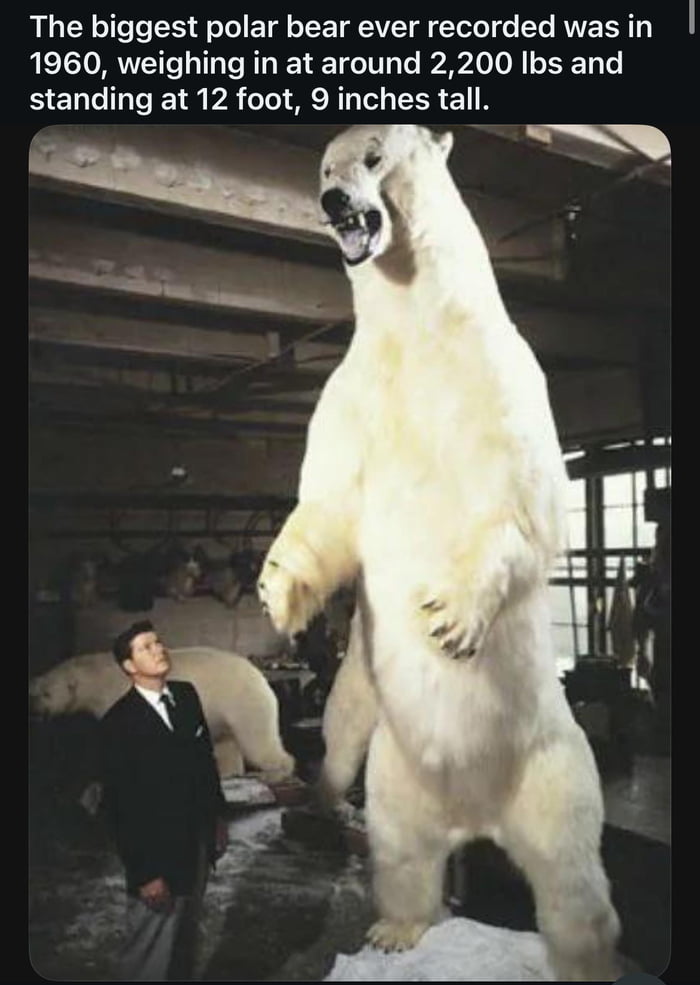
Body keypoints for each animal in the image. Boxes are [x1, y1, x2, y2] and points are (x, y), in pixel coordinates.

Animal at [30, 646, 294, 781]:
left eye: (47, 694)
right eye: (34, 693)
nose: (36, 712)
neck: (93, 676)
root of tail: (260, 676)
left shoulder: (116, 697)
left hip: (243, 702)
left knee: (257, 740)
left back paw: (278, 770)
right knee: (226, 742)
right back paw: (227, 773)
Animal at [257, 125, 621, 982]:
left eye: (375, 155)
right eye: (326, 165)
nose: (333, 202)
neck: (420, 333)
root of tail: (478, 818)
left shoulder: (507, 379)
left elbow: (525, 509)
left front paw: (450, 616)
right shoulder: (352, 395)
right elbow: (328, 498)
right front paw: (278, 590)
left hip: (554, 766)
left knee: (573, 880)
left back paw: (586, 957)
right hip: (397, 775)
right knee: (403, 854)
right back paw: (395, 926)